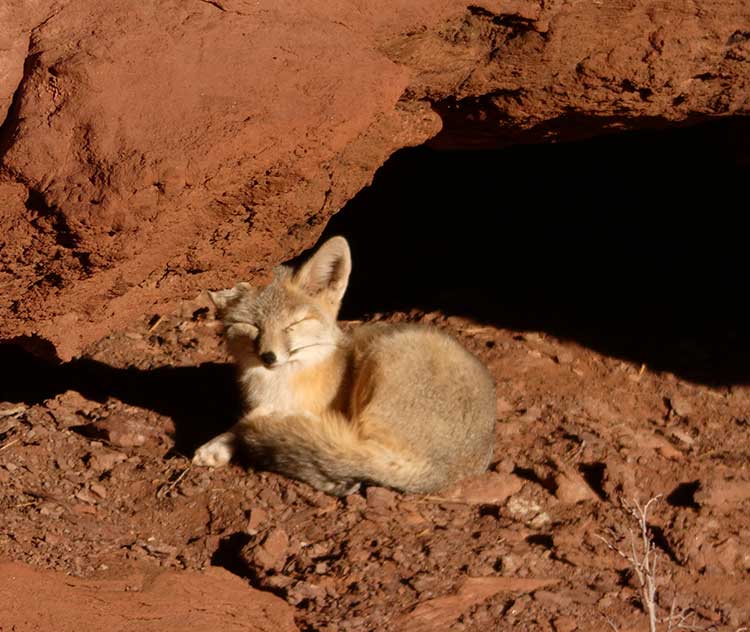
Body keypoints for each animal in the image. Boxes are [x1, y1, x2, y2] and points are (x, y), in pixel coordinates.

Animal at [192, 236, 497, 495]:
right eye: (253, 326)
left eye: (293, 324)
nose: (269, 357)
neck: (280, 383)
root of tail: (442, 471)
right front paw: (216, 444)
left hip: (383, 354)